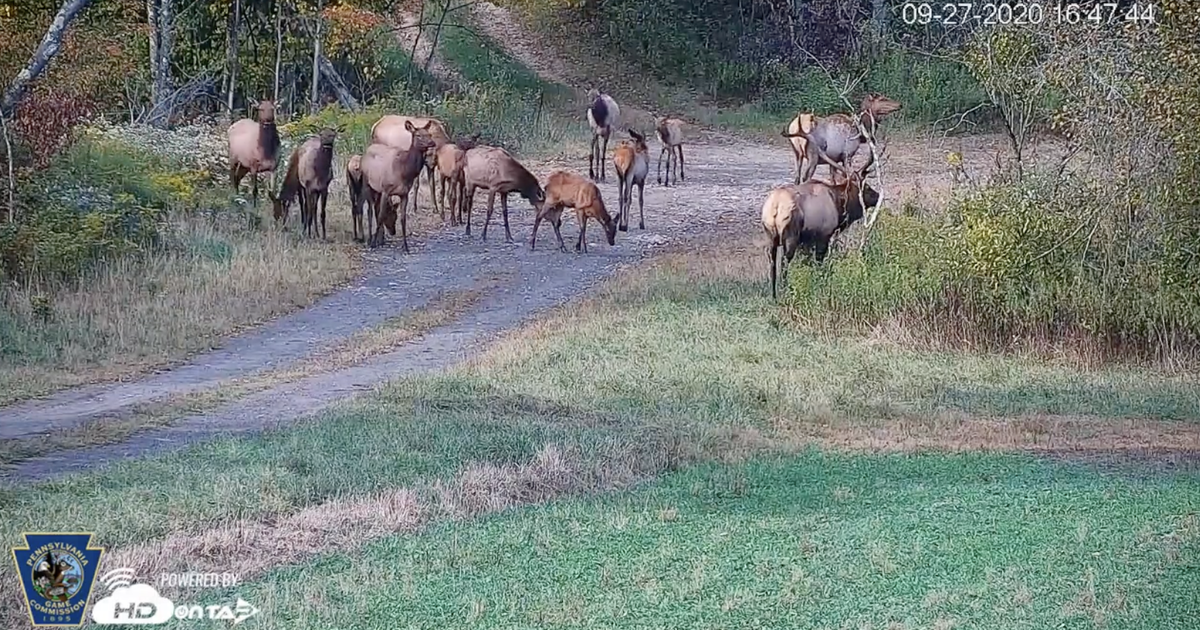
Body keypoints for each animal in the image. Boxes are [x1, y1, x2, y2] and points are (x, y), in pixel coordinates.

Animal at [360, 120, 437, 252]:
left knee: (375, 208)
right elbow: (381, 216)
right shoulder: (386, 190)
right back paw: (371, 239)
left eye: (429, 134)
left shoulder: (404, 193)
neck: (404, 171)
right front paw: (373, 243)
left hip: (377, 190)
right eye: (418, 135)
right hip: (368, 184)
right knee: (370, 210)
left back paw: (381, 239)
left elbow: (403, 219)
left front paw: (405, 246)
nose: (432, 142)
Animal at [762, 156, 880, 300]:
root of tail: (775, 206)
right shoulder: (823, 235)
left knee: (772, 261)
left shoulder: (807, 241)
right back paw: (785, 290)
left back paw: (773, 295)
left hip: (770, 235)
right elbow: (818, 262)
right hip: (790, 235)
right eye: (867, 187)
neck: (839, 206)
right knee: (784, 261)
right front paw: (819, 284)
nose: (878, 196)